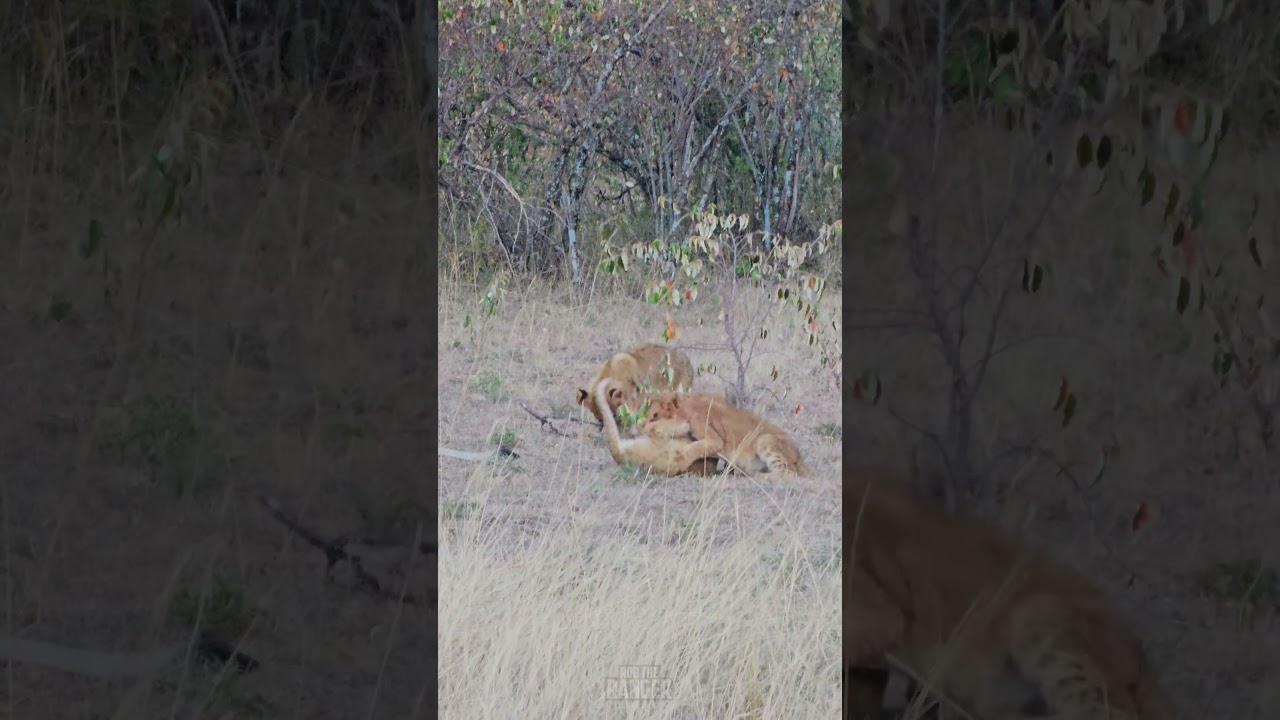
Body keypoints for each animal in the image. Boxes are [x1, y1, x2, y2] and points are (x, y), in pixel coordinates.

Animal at [642, 392, 810, 476]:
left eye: (654, 415)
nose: (643, 423)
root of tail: (799, 456)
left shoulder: (714, 438)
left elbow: (696, 448)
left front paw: (681, 461)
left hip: (765, 439)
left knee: (787, 473)